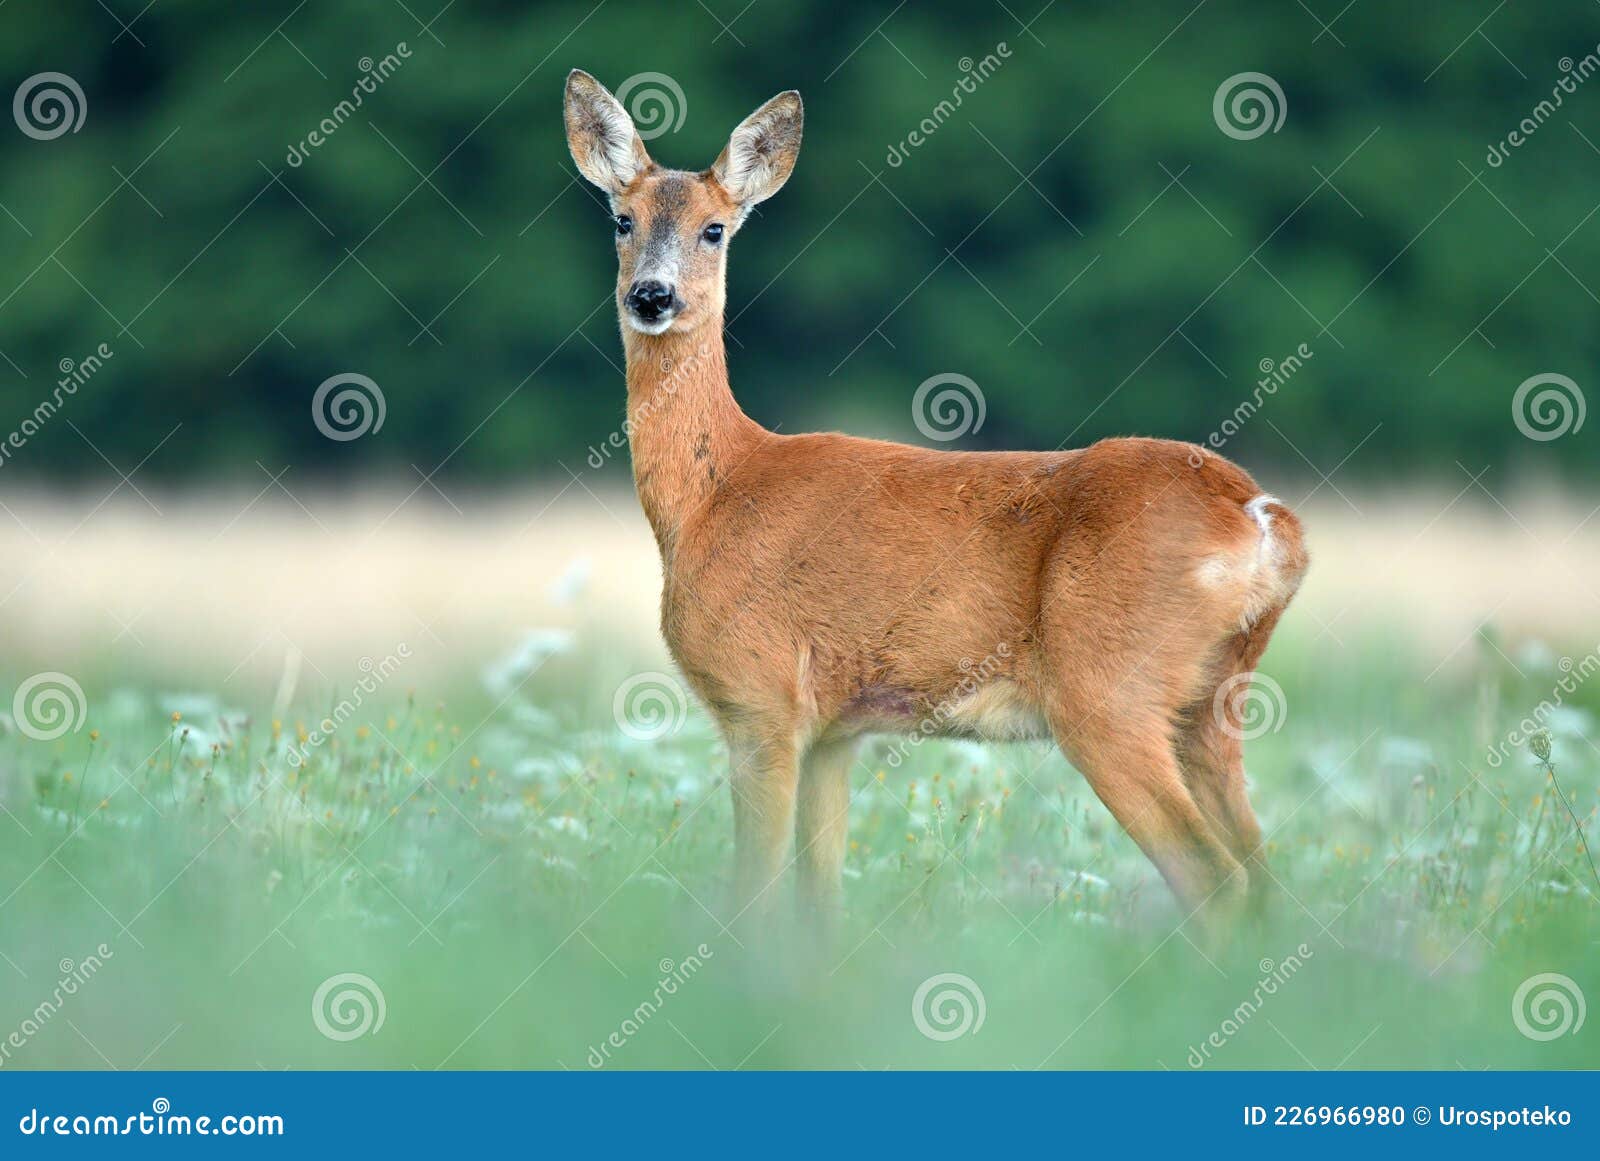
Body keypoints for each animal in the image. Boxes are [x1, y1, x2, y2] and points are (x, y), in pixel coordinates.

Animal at [564, 69, 1308, 945]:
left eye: (714, 229)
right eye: (622, 219)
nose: (652, 295)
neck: (711, 497)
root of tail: (1260, 515)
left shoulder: (761, 696)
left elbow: (754, 896)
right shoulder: (834, 733)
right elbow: (819, 903)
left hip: (1109, 690)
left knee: (1214, 878)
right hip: (1213, 703)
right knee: (1264, 881)